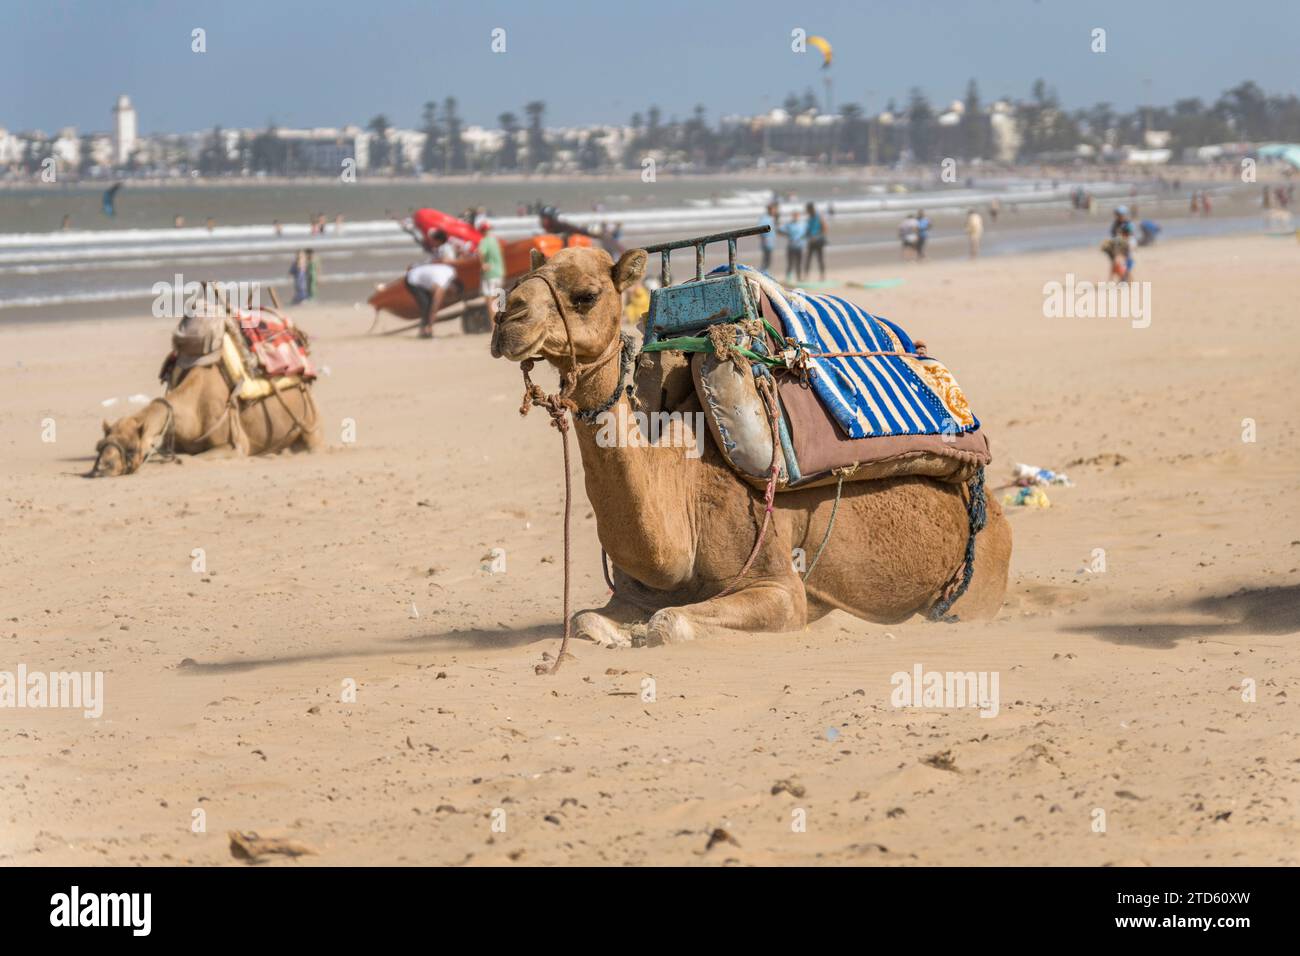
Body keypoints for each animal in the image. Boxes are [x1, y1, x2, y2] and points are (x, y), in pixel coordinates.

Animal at [91, 363, 323, 477]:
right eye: (100, 445)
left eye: (131, 449)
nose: (101, 469)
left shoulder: (235, 445)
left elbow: (193, 458)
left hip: (310, 424)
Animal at [490, 246, 1012, 646]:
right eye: (521, 280)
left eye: (586, 295)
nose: (507, 318)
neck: (681, 489)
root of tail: (995, 512)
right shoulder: (632, 593)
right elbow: (585, 621)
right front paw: (616, 631)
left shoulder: (780, 586)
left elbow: (669, 622)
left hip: (979, 585)